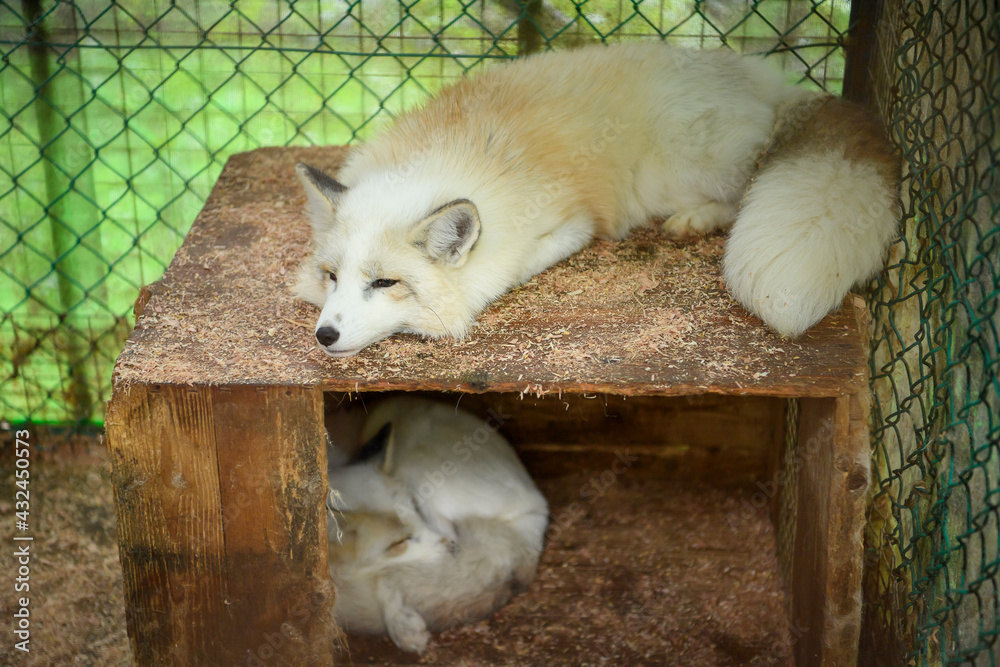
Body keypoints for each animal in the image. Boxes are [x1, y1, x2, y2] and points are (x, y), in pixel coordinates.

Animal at [295, 41, 899, 356]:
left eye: (385, 283)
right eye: (332, 276)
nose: (325, 335)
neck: (447, 156)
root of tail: (766, 79)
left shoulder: (574, 223)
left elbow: (514, 268)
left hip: (672, 167)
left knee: (743, 186)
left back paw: (697, 218)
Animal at [326, 396, 548, 653]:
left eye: (416, 507)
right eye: (399, 542)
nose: (449, 546)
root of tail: (538, 507)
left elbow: (383, 576)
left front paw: (403, 626)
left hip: (418, 471)